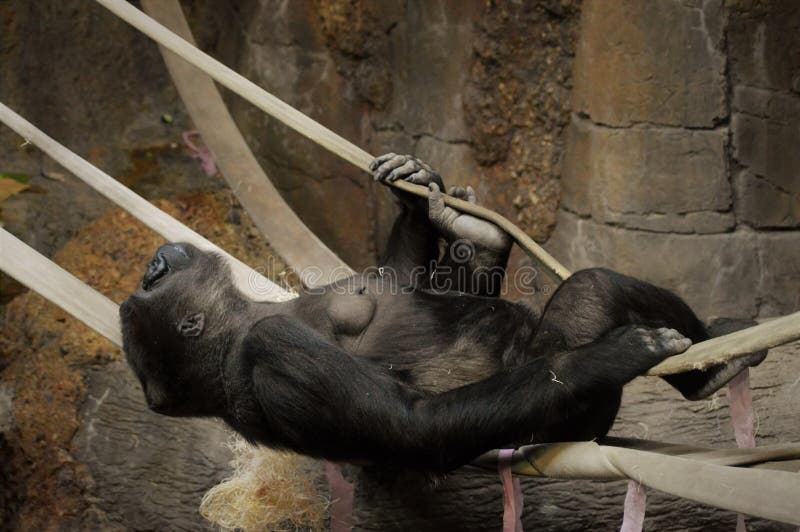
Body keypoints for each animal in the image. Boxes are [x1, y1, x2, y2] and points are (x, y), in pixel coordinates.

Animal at [119, 153, 765, 473]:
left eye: (150, 283)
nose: (152, 264)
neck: (246, 318)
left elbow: (400, 279)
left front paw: (429, 199)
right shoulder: (276, 348)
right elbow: (416, 427)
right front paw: (614, 354)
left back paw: (723, 356)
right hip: (568, 421)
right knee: (591, 292)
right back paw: (706, 372)